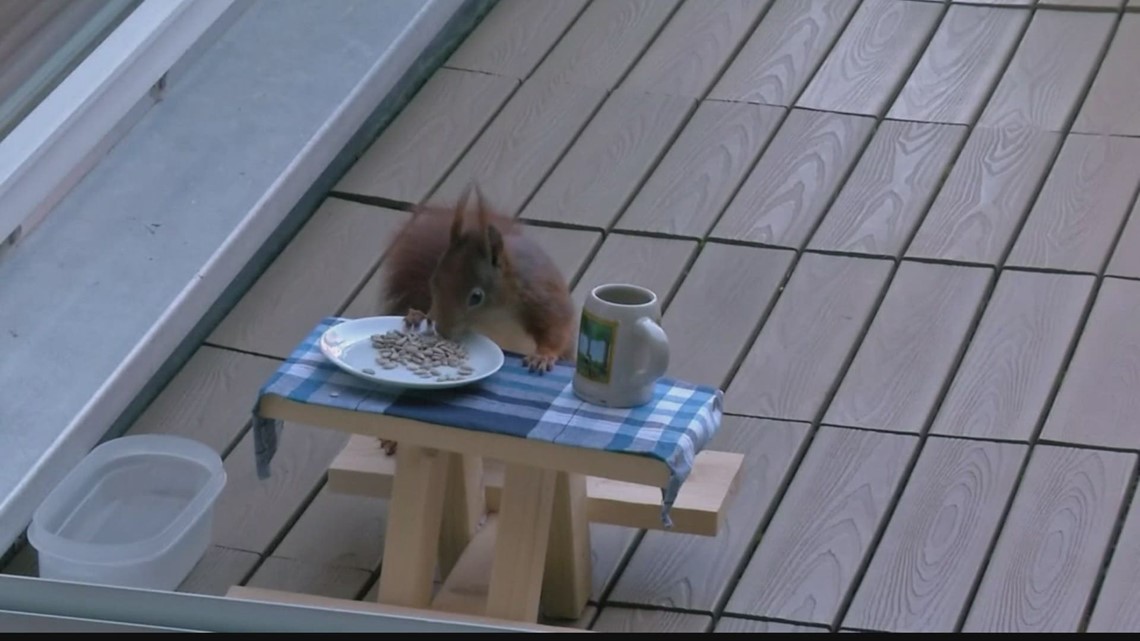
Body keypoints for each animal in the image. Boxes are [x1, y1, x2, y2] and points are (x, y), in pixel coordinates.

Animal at [374, 183, 577, 454]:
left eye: (476, 297)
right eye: (433, 281)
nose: (443, 331)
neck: (494, 316)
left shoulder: (541, 299)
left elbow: (556, 330)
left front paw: (542, 356)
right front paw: (417, 316)